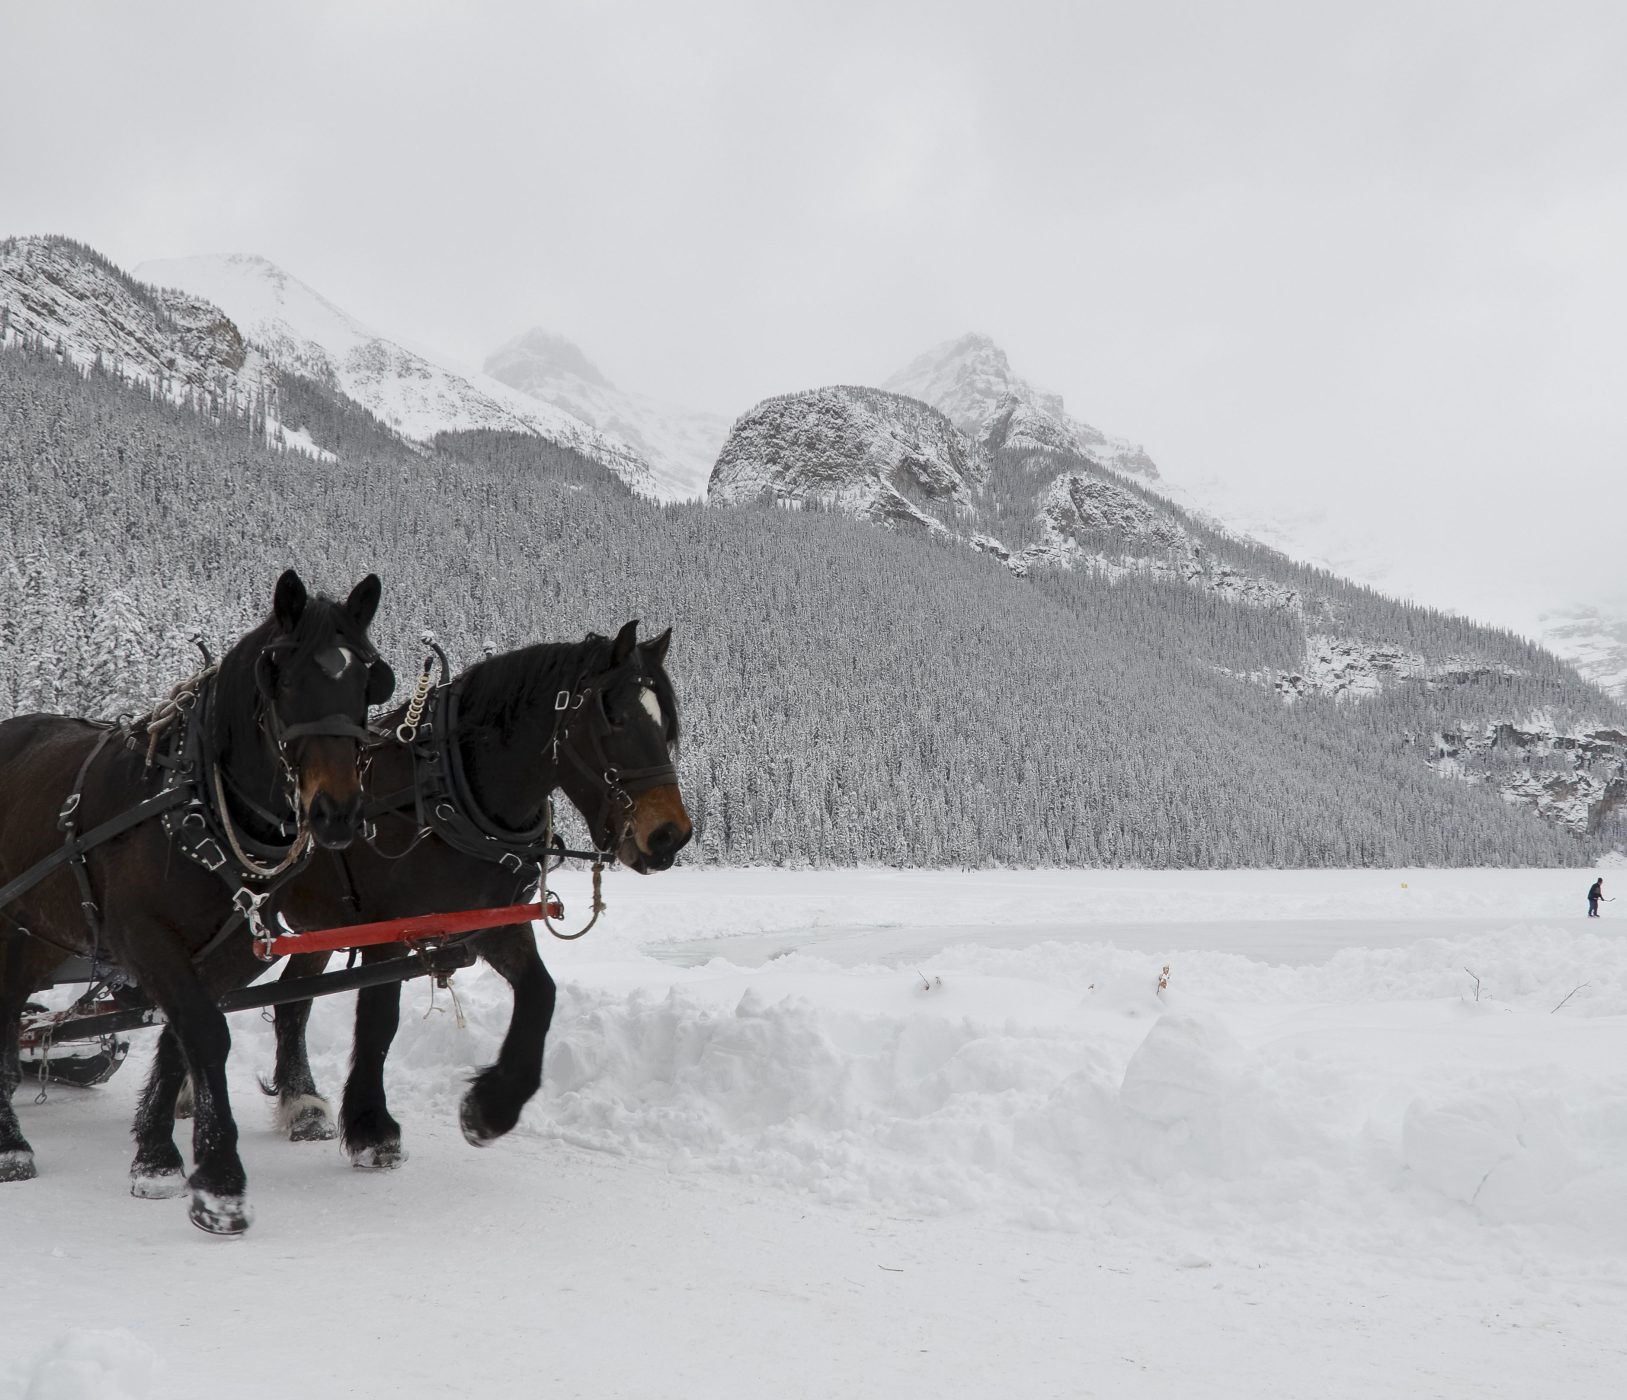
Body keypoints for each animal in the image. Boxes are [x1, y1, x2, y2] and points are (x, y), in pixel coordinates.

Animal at [0, 570, 394, 1233]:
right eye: (286, 679)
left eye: (369, 680)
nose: (337, 813)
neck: (199, 803)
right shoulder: (143, 936)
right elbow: (206, 1035)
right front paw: (220, 1182)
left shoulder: (233, 950)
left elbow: (181, 1036)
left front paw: (157, 1157)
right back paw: (11, 1143)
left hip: (37, 934)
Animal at [149, 619, 690, 1169]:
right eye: (613, 717)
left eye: (666, 724)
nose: (671, 836)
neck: (449, 791)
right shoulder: (388, 930)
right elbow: (378, 1021)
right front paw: (373, 1129)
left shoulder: (492, 922)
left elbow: (541, 994)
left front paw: (490, 1108)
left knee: (286, 1005)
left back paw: (298, 1105)